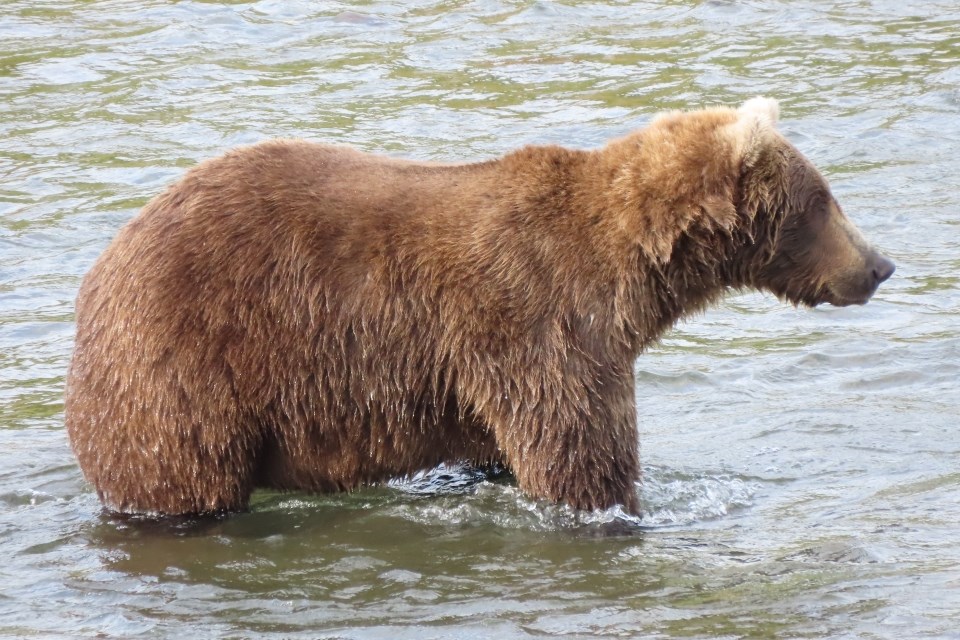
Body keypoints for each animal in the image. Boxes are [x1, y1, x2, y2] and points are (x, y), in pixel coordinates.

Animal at [65, 97, 895, 516]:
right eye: (823, 201)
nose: (880, 265)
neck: (632, 273)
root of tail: (99, 274)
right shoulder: (540, 321)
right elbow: (577, 454)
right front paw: (619, 510)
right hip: (184, 367)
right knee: (183, 480)